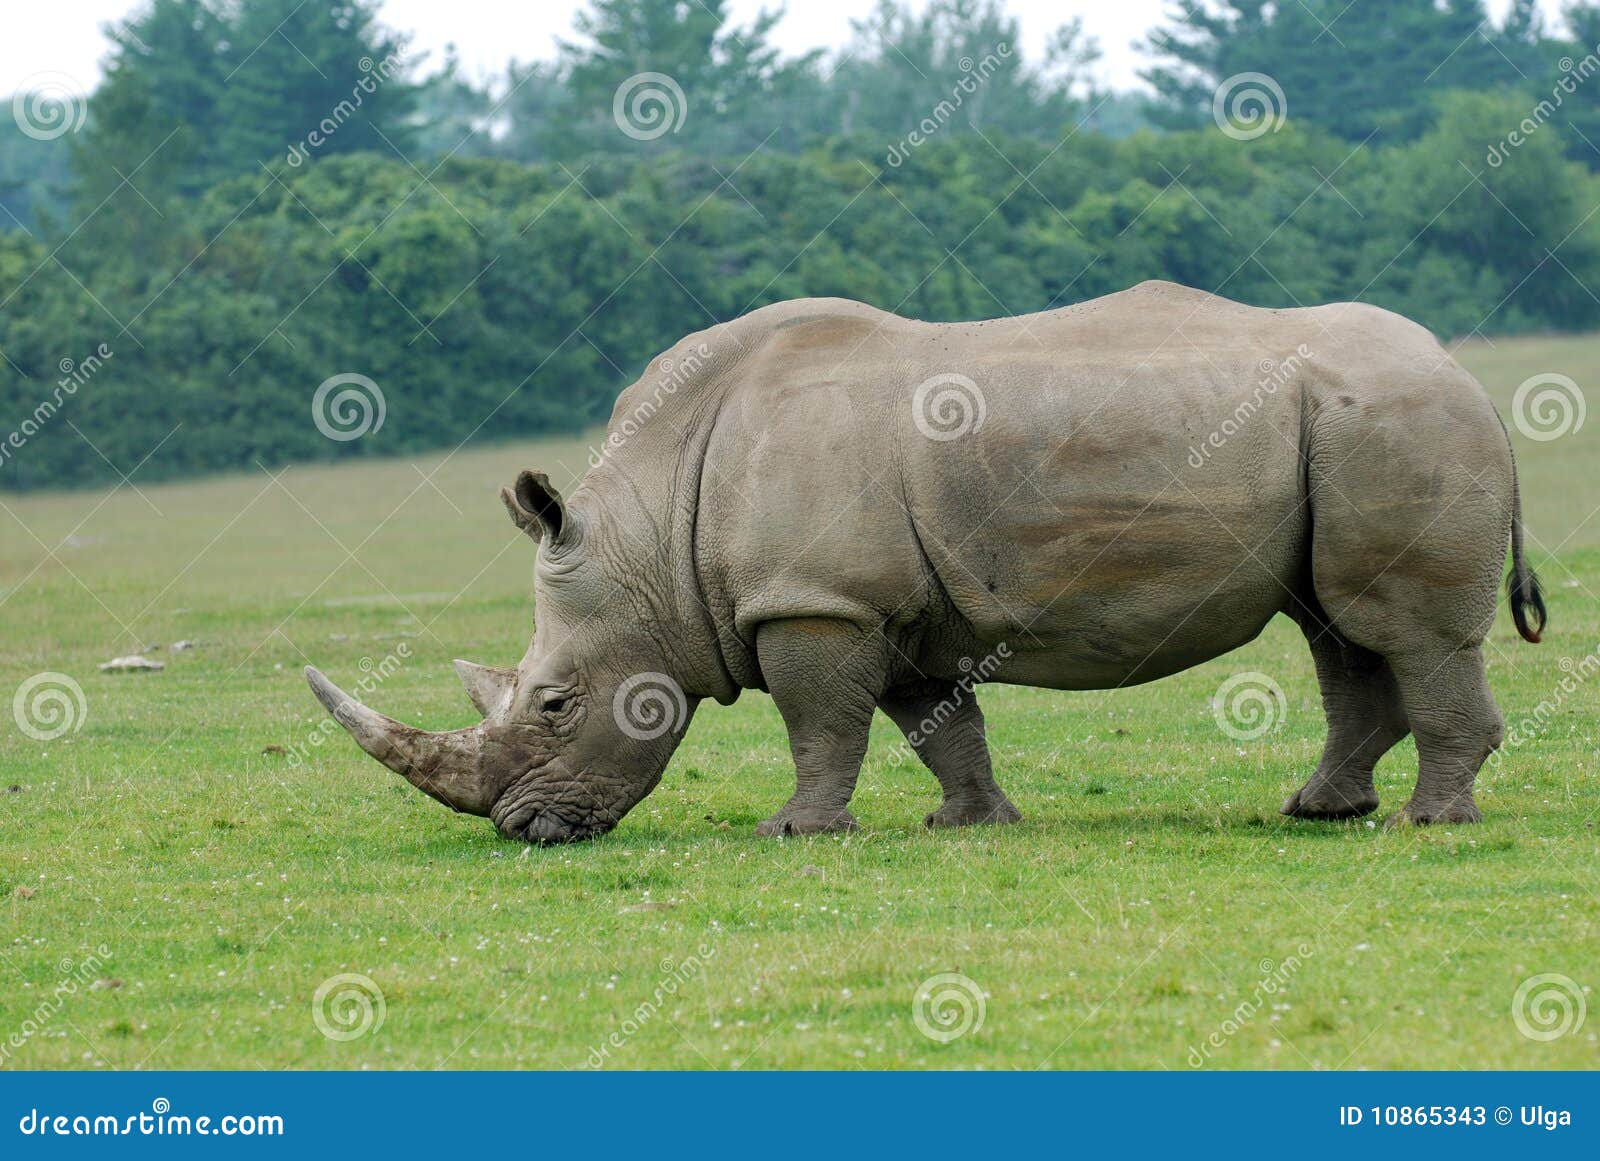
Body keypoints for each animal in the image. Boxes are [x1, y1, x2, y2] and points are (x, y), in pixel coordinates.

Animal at [305, 281, 1545, 843]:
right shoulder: (878, 605)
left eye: (557, 703)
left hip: (1397, 421)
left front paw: (796, 833)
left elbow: (821, 724)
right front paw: (971, 824)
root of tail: (1470, 378)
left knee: (1400, 632)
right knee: (1336, 628)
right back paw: (1318, 810)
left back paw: (1428, 824)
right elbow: (934, 722)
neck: (654, 532)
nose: (522, 830)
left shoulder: (812, 605)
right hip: (1354, 433)